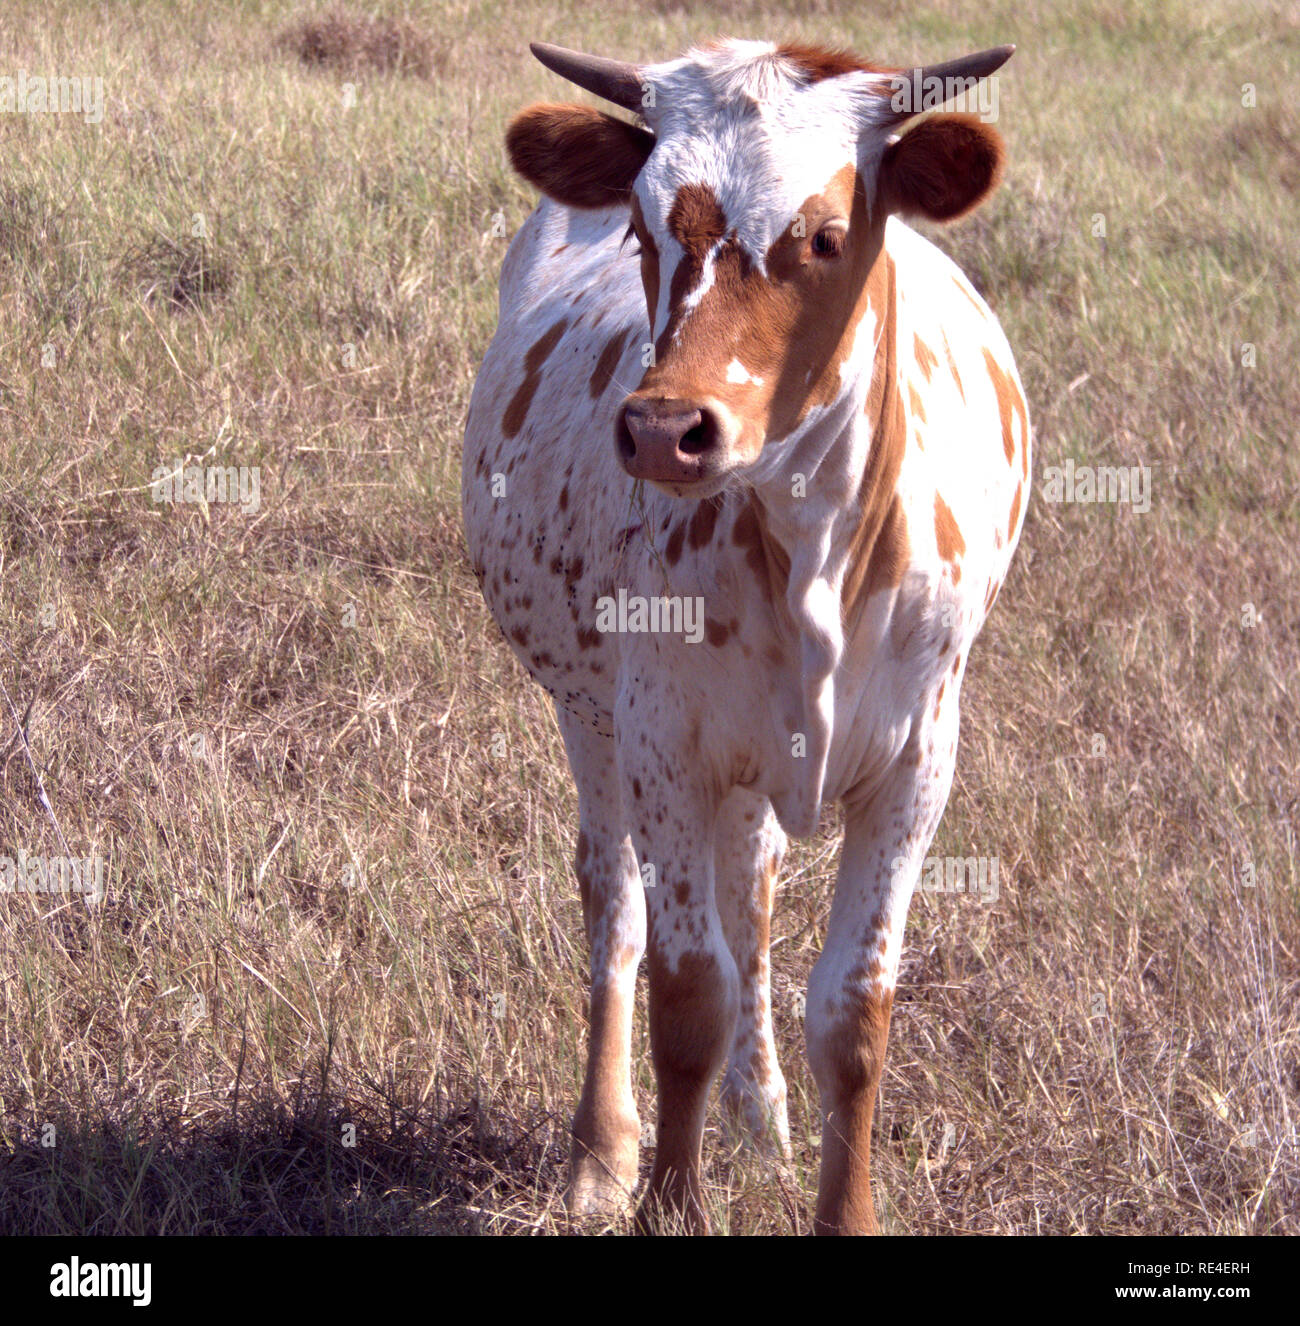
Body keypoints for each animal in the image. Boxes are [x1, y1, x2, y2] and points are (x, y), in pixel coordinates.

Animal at [462, 36, 1031, 1234]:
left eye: (823, 236)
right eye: (641, 231)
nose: (664, 430)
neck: (808, 543)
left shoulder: (917, 764)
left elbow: (852, 1014)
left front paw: (836, 1198)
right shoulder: (665, 742)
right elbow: (688, 992)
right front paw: (666, 1199)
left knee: (752, 885)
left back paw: (760, 1109)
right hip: (590, 716)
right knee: (616, 903)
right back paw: (601, 1149)